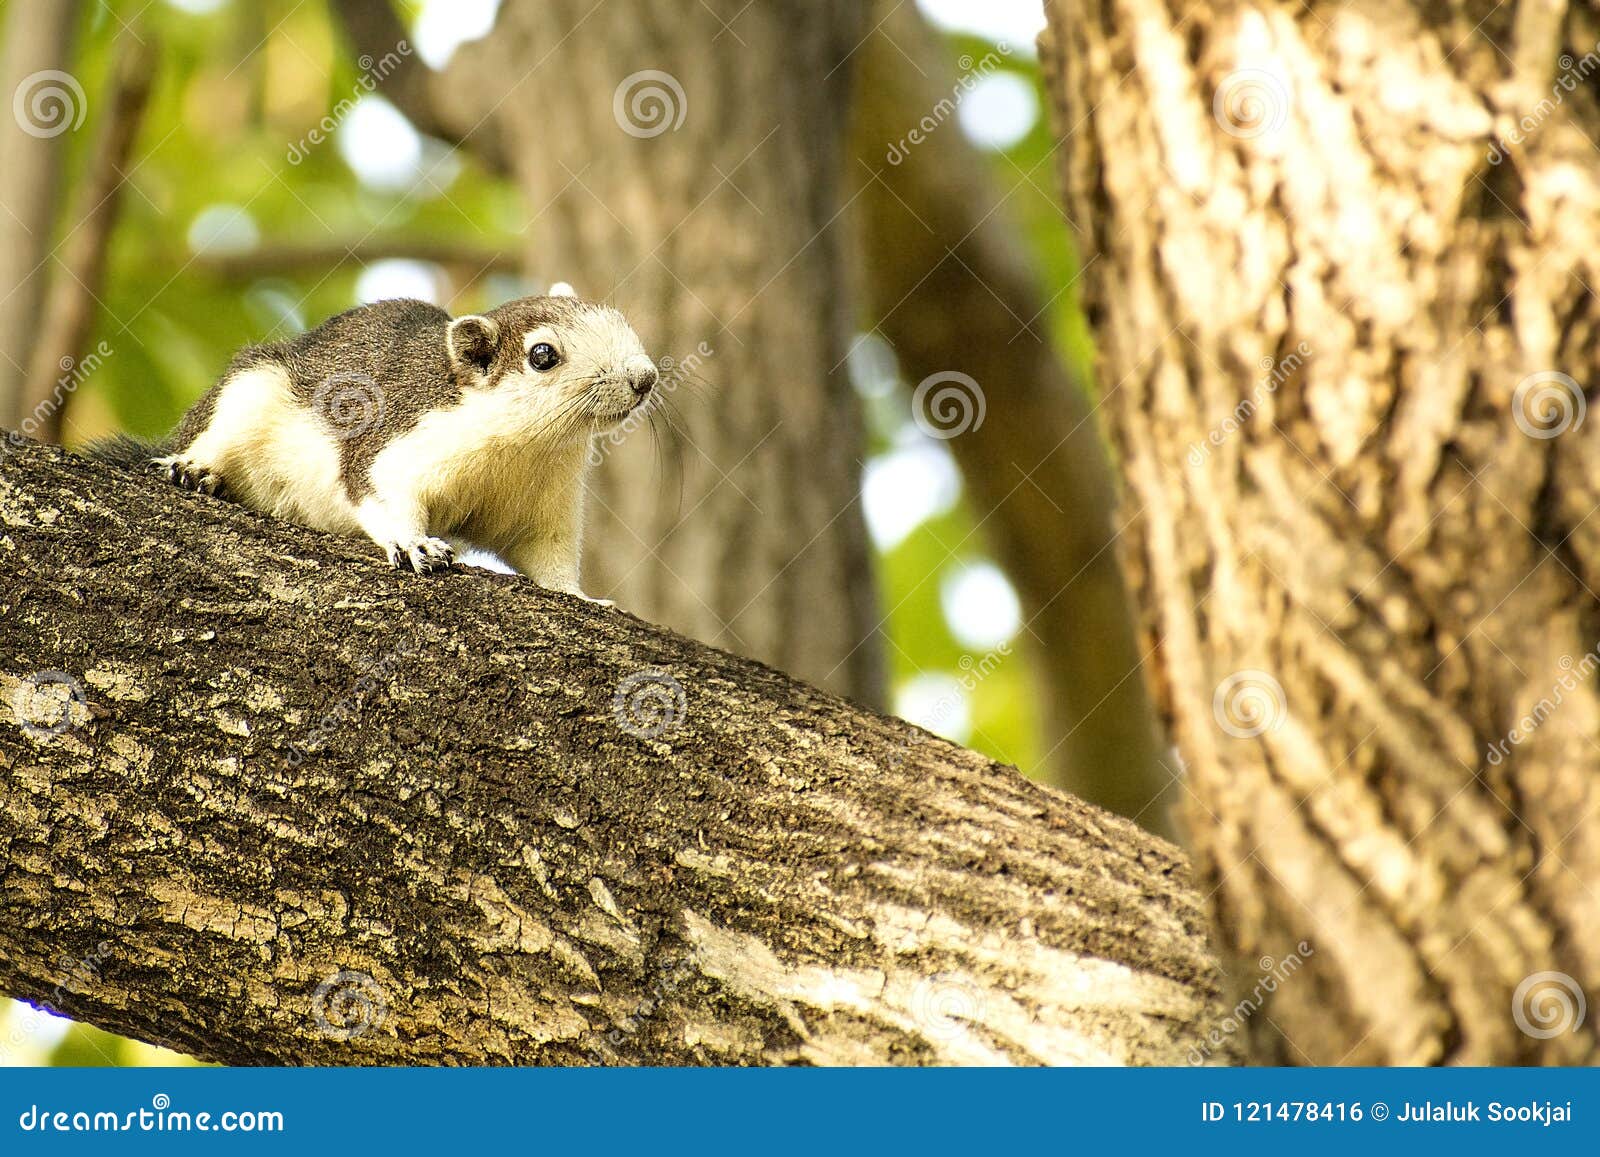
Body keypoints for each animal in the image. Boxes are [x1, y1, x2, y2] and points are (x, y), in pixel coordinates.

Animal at [90, 284, 656, 604]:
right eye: (542, 355)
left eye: (622, 321)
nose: (646, 377)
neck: (529, 446)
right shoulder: (397, 448)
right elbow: (380, 494)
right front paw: (415, 543)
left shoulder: (547, 508)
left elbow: (550, 558)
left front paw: (583, 597)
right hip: (245, 395)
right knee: (209, 437)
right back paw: (193, 467)